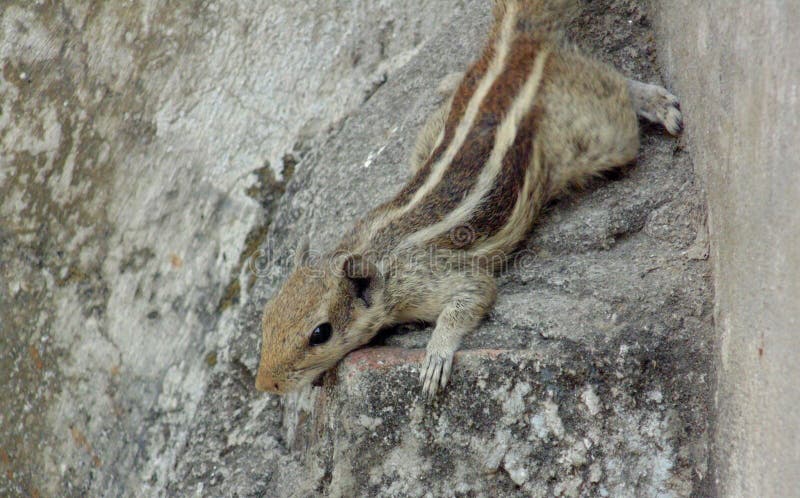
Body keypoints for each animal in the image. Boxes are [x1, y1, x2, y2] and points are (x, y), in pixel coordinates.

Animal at [255, 0, 682, 397]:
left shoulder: (432, 277)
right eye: (266, 317)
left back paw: (654, 101)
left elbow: (473, 295)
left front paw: (436, 355)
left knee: (610, 87)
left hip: (596, 137)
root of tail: (510, 50)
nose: (265, 384)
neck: (375, 251)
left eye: (320, 333)